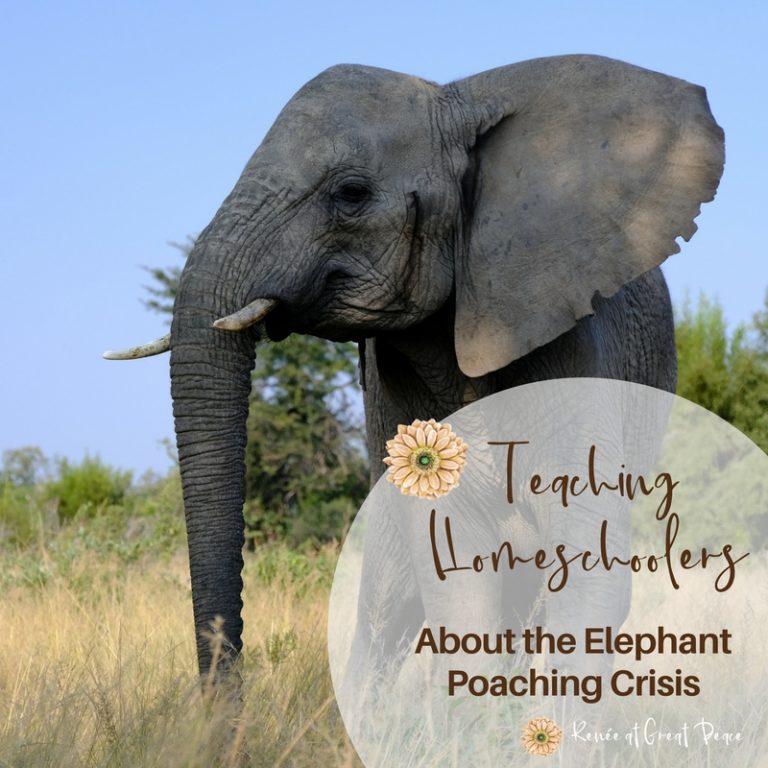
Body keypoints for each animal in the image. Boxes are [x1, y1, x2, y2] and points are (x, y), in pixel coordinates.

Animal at [105, 54, 723, 680]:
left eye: (351, 194)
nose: (223, 701)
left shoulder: (569, 348)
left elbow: (587, 581)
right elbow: (456, 582)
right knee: (386, 609)